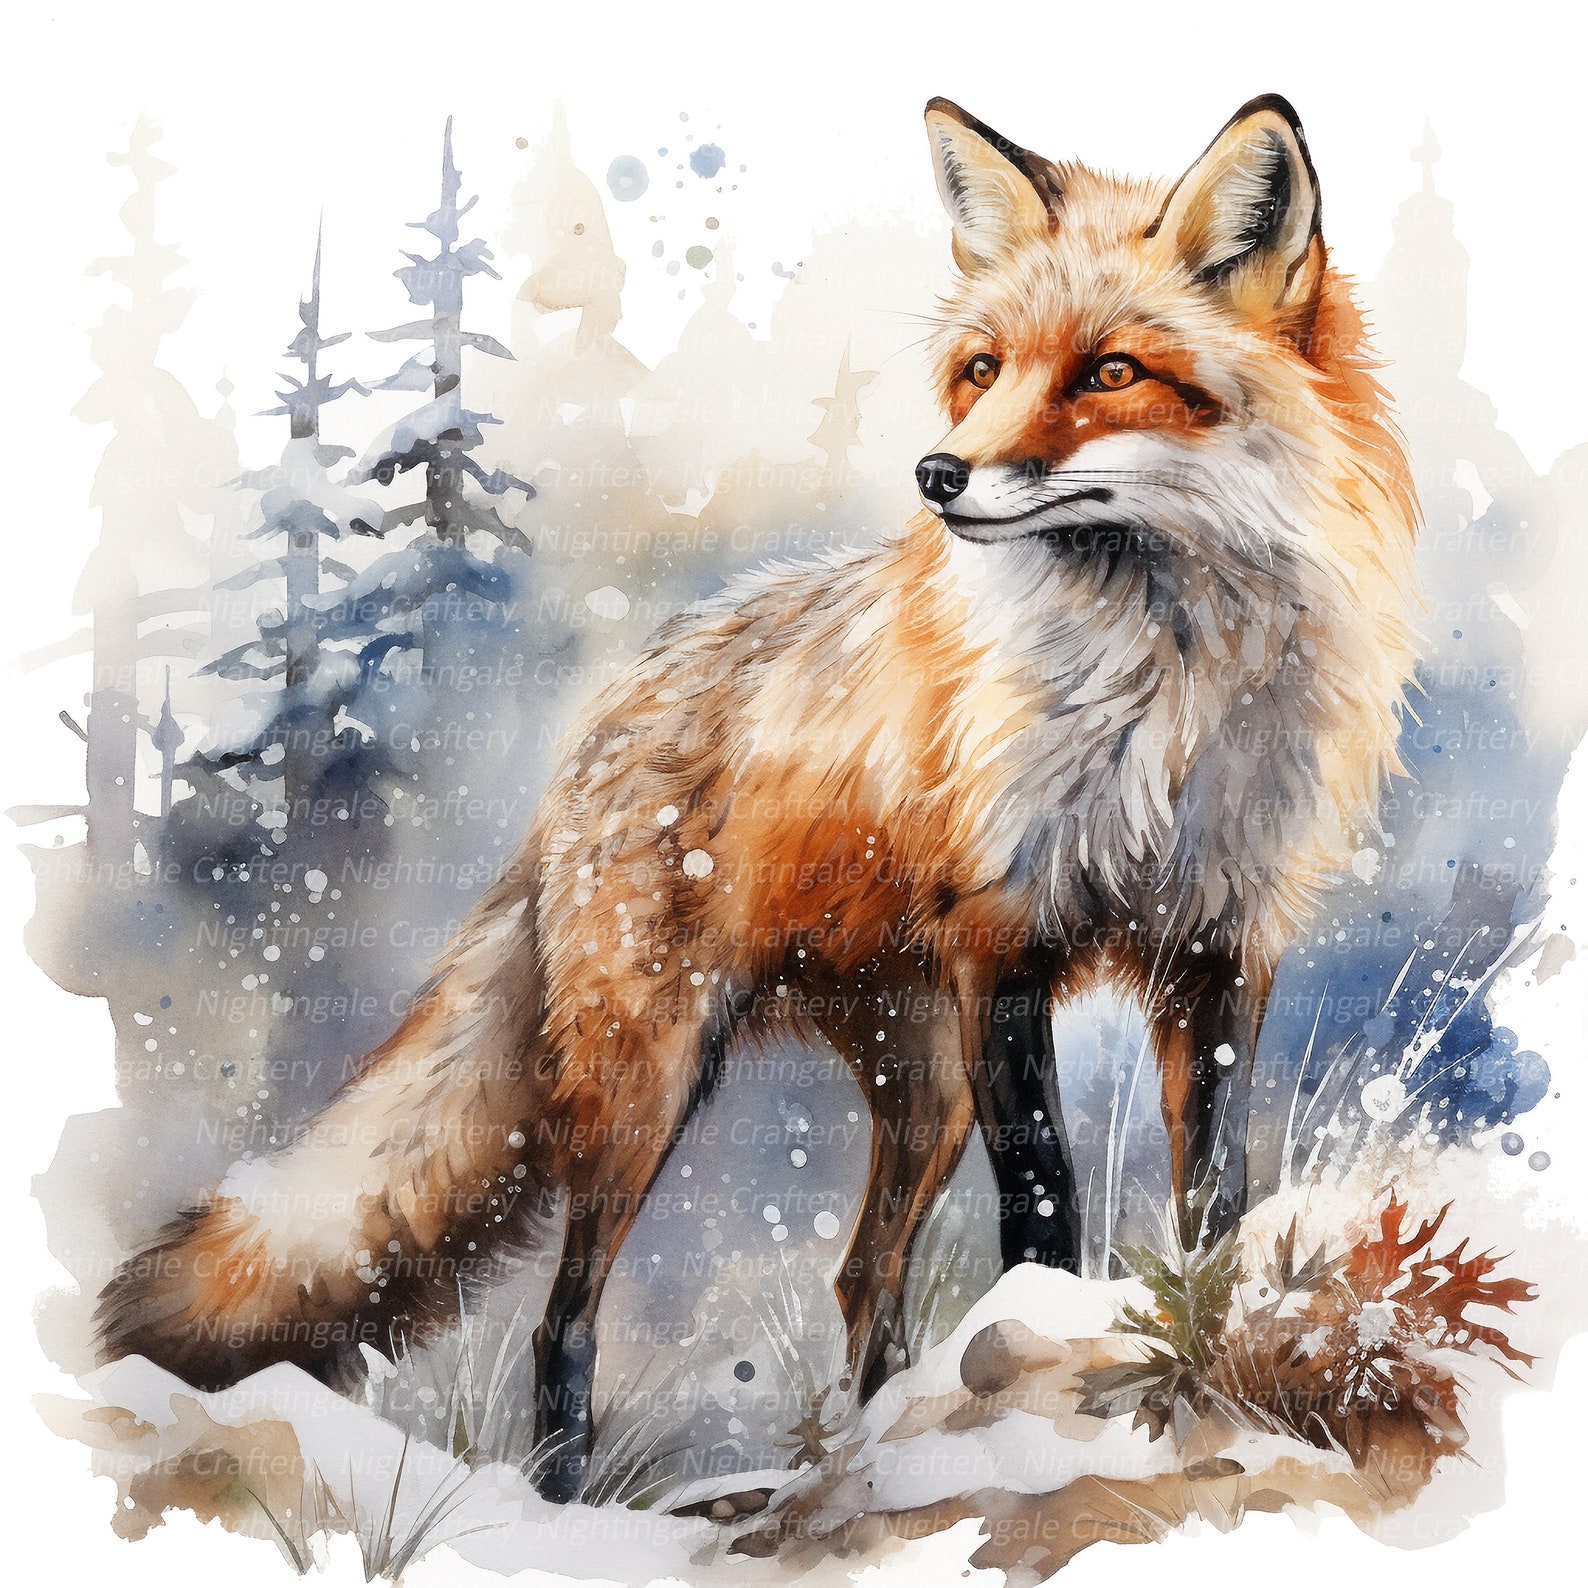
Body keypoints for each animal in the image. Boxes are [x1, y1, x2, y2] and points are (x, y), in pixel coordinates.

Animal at [97, 94, 1419, 1504]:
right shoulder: (1003, 940)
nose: (937, 474)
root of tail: (599, 726)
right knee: (565, 1320)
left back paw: (873, 1447)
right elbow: (1043, 1203)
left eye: (1110, 372)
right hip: (656, 1080)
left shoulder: (1217, 945)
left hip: (921, 1086)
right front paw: (1038, 1379)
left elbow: (1216, 1203)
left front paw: (1197, 1352)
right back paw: (569, 1500)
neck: (1161, 696)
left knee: (860, 1278)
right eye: (982, 368)